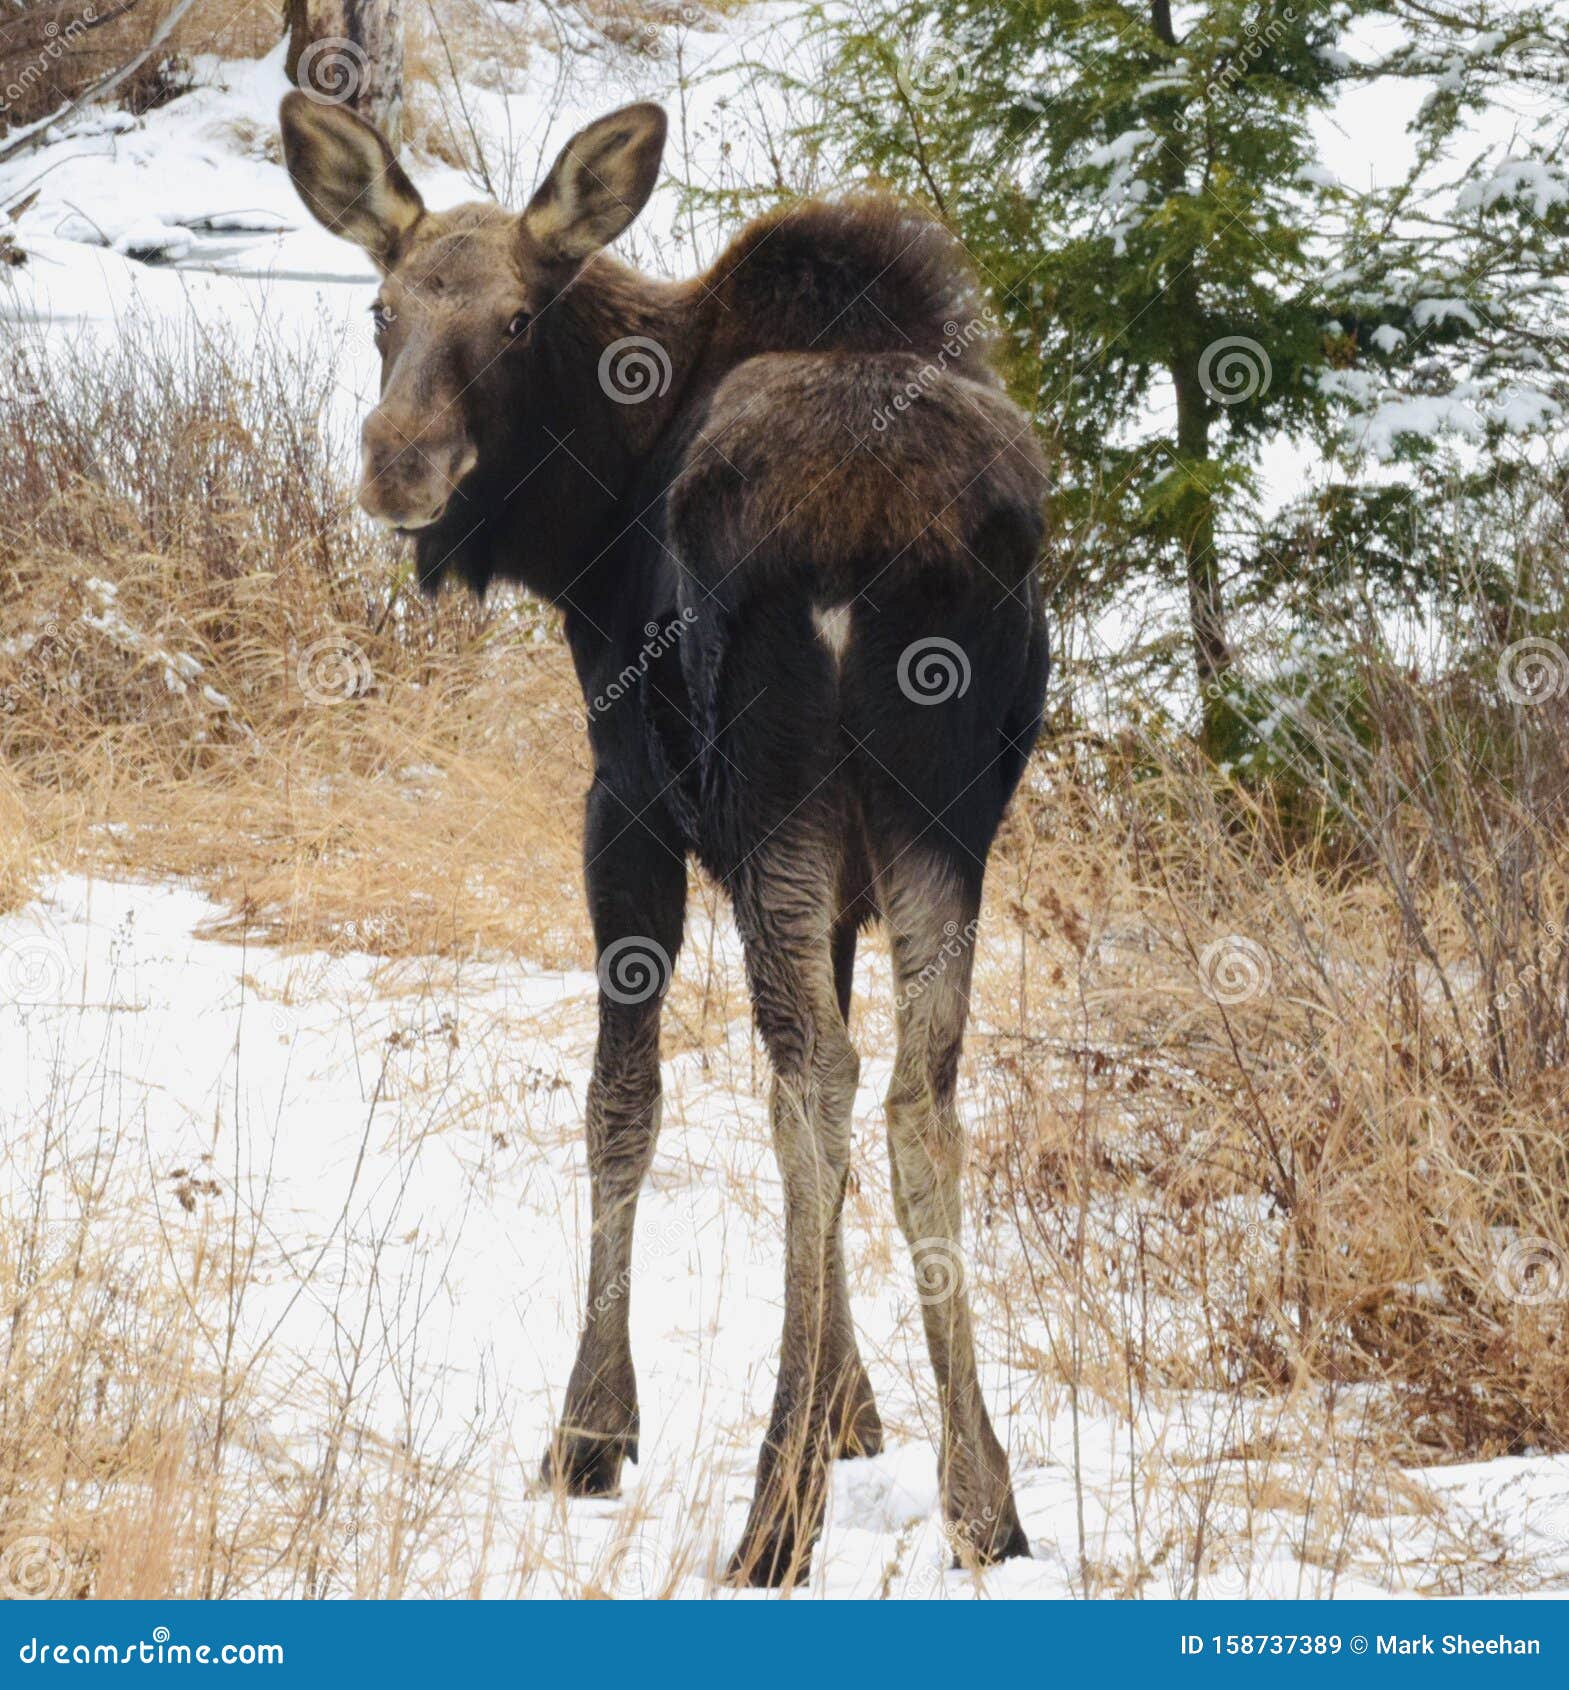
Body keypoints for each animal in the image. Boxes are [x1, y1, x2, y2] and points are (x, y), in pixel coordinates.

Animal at [280, 89, 1049, 1588]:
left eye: (519, 317)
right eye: (382, 307)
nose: (397, 460)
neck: (586, 521)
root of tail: (892, 540)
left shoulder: (625, 798)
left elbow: (618, 1102)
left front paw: (591, 1427)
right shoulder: (852, 865)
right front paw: (858, 1413)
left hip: (771, 794)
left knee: (815, 1083)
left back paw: (772, 1516)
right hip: (942, 814)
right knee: (907, 1093)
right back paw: (982, 1499)